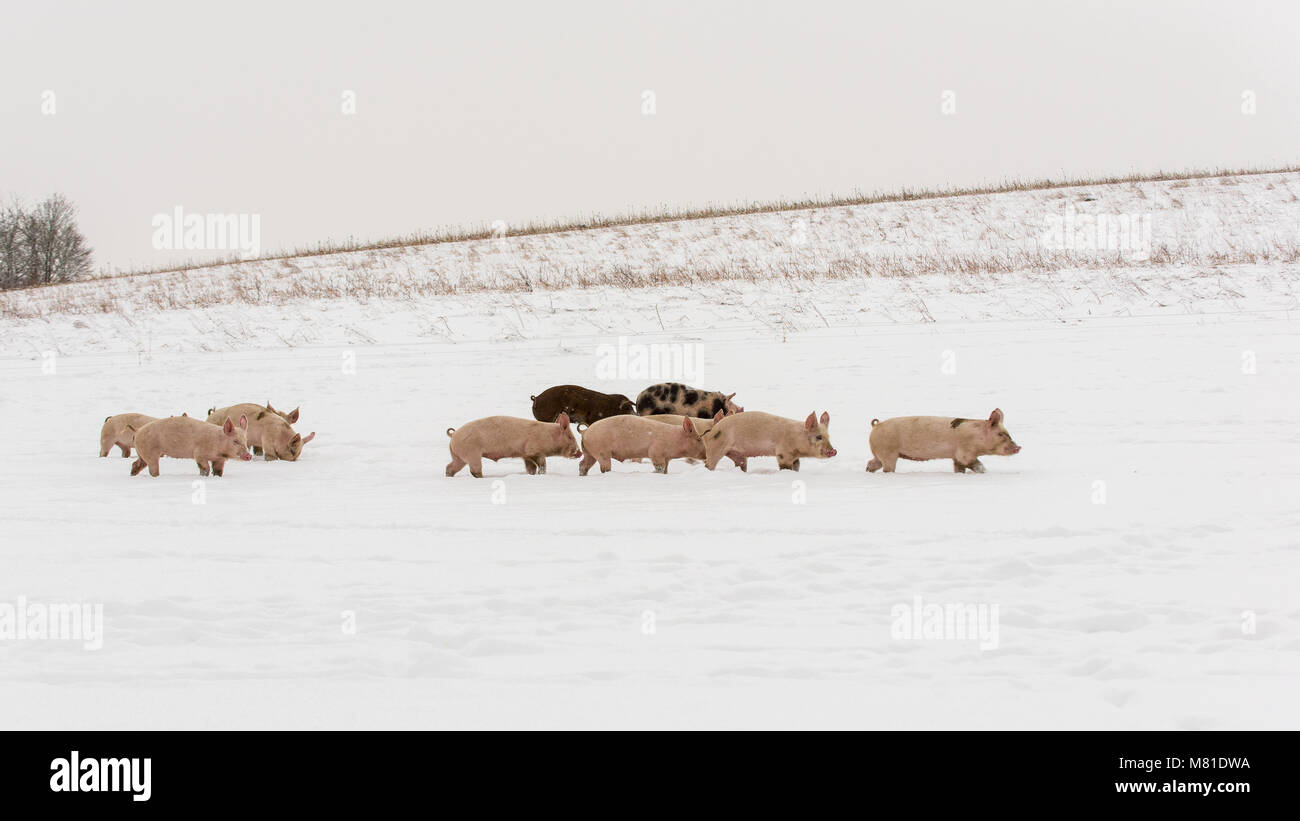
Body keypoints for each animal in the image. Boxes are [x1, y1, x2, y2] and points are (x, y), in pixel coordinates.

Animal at [446, 413, 582, 477]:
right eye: (570, 437)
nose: (580, 452)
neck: (548, 436)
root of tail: (454, 435)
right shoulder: (534, 451)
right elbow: (542, 465)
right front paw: (542, 474)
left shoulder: (526, 455)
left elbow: (531, 468)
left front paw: (532, 475)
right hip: (471, 453)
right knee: (474, 470)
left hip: (459, 456)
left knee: (450, 467)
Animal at [701, 411, 836, 471]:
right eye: (819, 437)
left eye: (828, 436)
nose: (834, 451)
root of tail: (712, 430)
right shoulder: (783, 453)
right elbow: (785, 466)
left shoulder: (794, 457)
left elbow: (797, 466)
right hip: (716, 447)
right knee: (709, 464)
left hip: (738, 455)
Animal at [866, 408, 1021, 474]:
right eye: (1000, 434)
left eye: (1008, 433)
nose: (1018, 447)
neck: (977, 436)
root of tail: (876, 426)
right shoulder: (965, 452)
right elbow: (977, 465)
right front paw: (984, 472)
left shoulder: (956, 457)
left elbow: (959, 468)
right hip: (888, 451)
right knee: (887, 468)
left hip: (879, 453)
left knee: (872, 463)